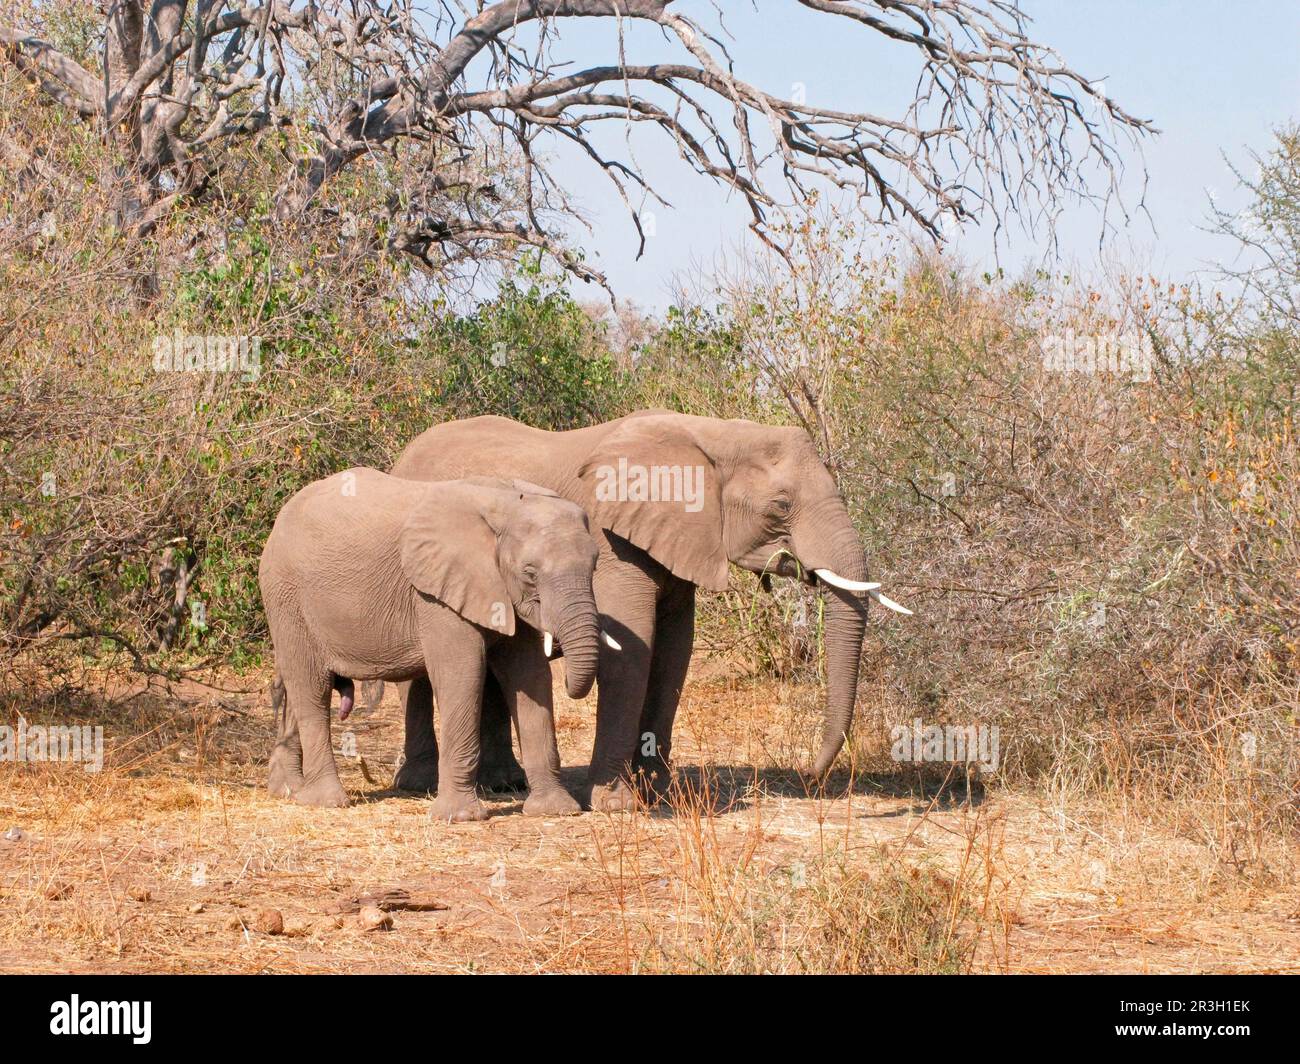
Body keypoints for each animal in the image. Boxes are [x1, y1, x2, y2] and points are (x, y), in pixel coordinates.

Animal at [259, 468, 610, 819]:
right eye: (530, 573)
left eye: (595, 566)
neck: (506, 503)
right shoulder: (438, 593)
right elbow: (461, 675)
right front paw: (461, 817)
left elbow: (530, 676)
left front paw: (555, 810)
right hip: (286, 595)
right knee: (311, 686)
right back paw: (325, 800)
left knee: (297, 685)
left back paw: (288, 791)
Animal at [385, 411, 910, 812]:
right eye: (780, 506)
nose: (811, 775)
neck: (712, 435)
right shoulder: (616, 543)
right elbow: (632, 653)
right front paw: (616, 804)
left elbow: (674, 655)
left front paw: (660, 793)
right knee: (424, 672)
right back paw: (421, 784)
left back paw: (504, 783)